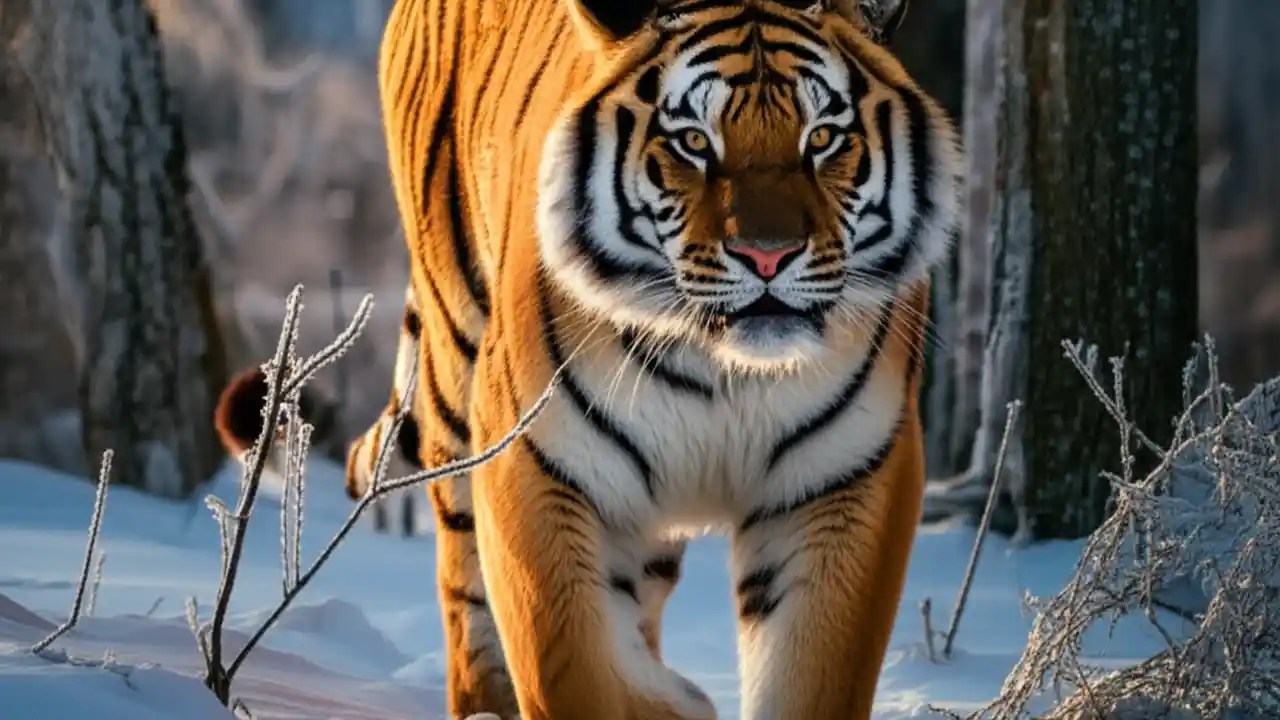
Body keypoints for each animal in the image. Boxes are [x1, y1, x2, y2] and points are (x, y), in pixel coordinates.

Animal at [356, 0, 961, 717]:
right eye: (694, 142)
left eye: (822, 139)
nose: (768, 256)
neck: (723, 368)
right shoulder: (537, 465)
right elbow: (578, 671)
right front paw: (676, 701)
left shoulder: (844, 481)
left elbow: (812, 679)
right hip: (456, 357)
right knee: (462, 572)